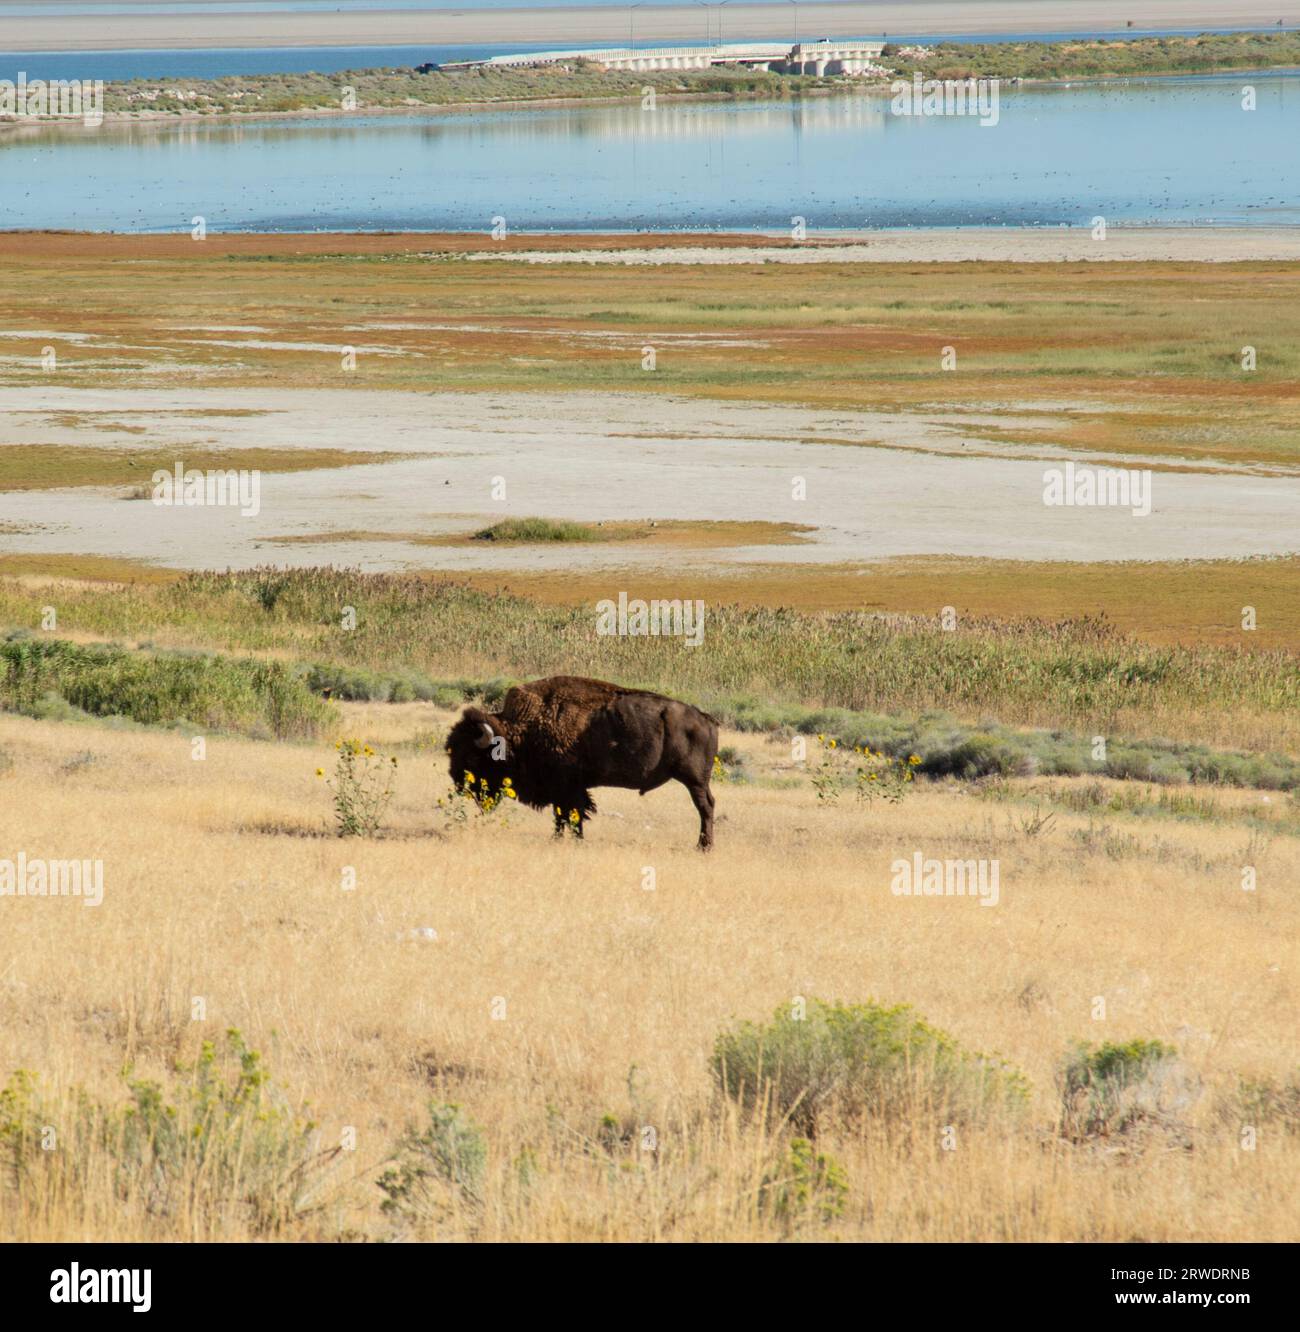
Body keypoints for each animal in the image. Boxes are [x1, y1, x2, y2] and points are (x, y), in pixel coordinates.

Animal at [446, 675, 719, 849]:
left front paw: (571, 840)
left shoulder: (567, 788)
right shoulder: (565, 790)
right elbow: (565, 816)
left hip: (694, 781)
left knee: (704, 808)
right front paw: (560, 839)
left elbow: (571, 815)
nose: (458, 784)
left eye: (472, 755)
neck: (521, 731)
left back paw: (703, 846)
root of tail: (706, 719)